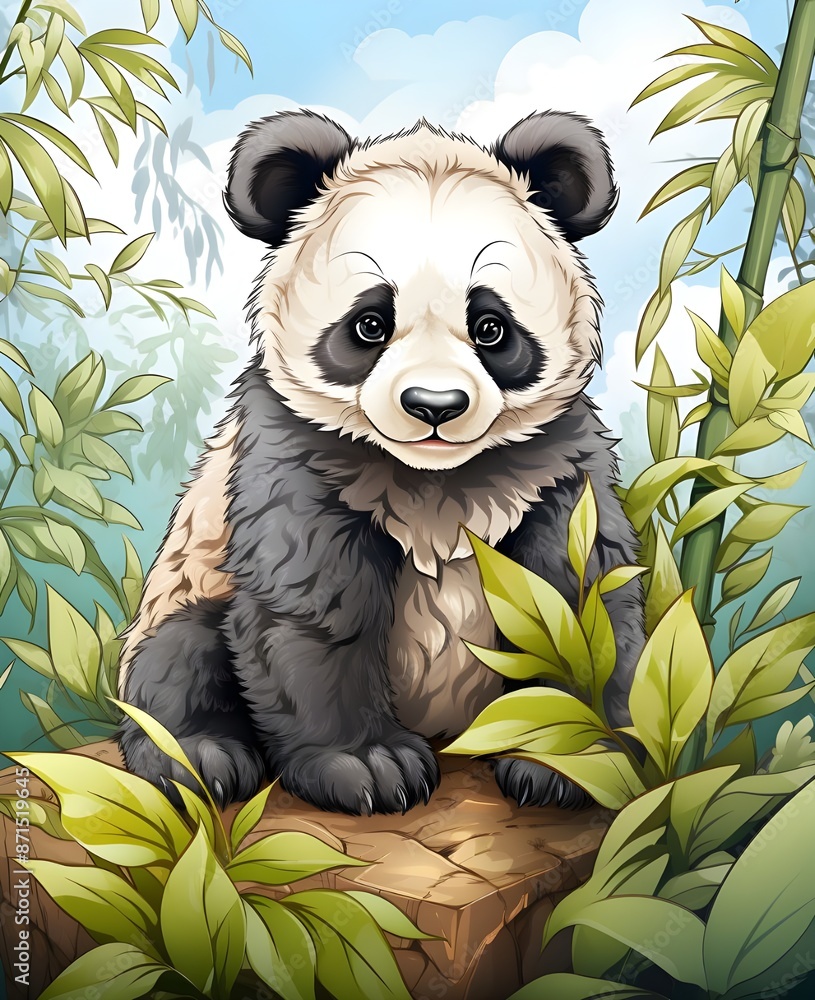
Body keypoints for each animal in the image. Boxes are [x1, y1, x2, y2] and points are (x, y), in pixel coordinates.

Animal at [117, 109, 645, 815]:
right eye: (370, 323)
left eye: (491, 327)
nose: (435, 406)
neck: (436, 480)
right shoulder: (295, 454)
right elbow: (316, 603)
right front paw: (367, 767)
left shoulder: (553, 464)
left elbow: (577, 594)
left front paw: (565, 760)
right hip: (186, 592)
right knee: (179, 656)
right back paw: (201, 758)